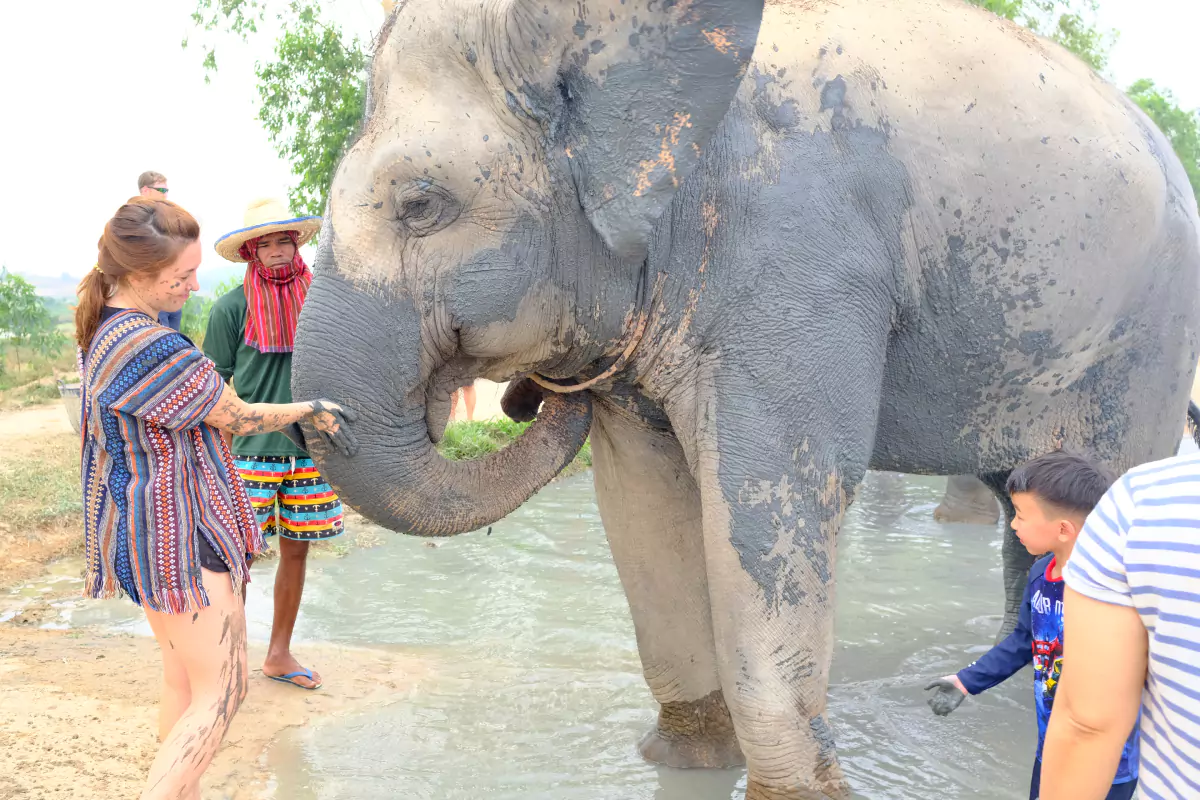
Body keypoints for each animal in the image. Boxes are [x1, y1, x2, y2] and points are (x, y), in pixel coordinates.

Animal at [290, 0, 1200, 796]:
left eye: (420, 204)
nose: (533, 397)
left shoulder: (803, 257)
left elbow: (776, 492)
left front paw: (799, 793)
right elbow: (642, 502)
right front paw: (683, 761)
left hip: (1146, 347)